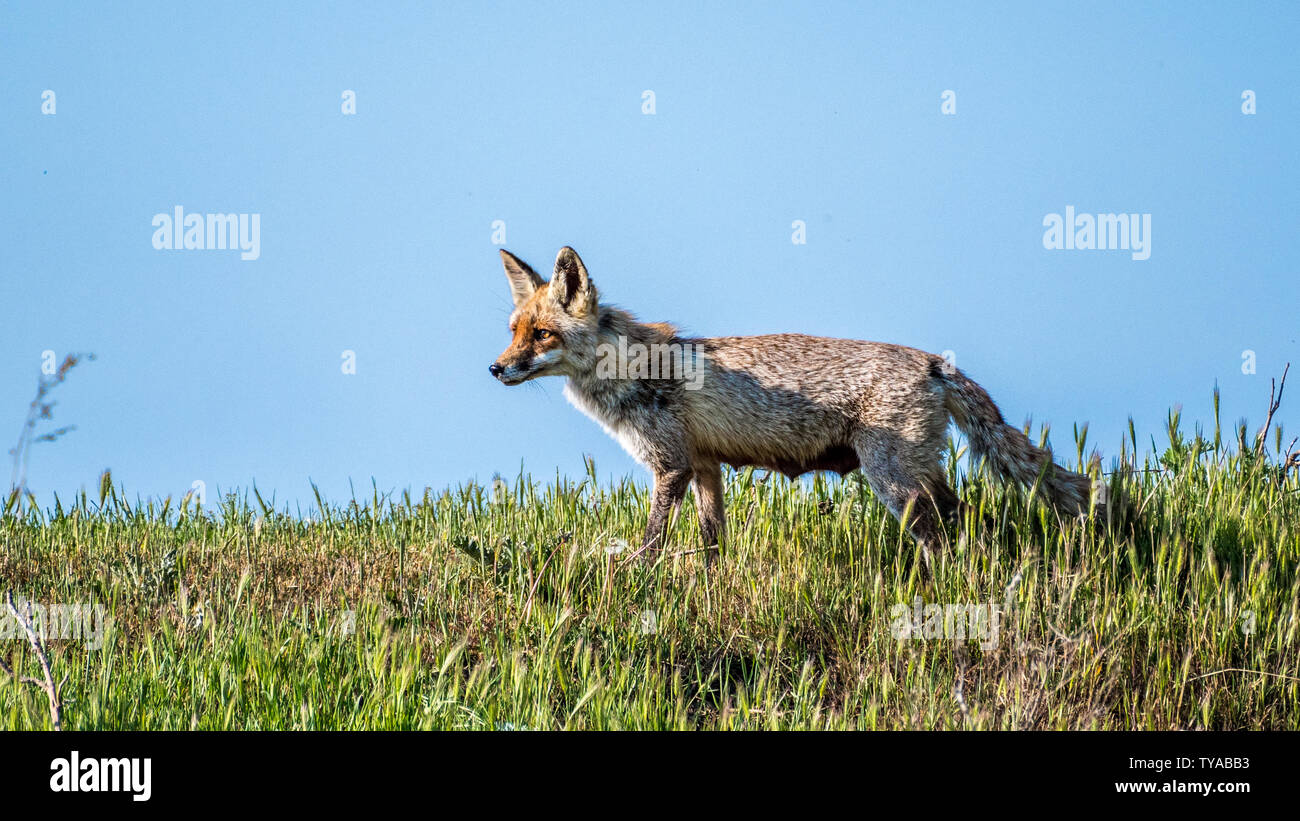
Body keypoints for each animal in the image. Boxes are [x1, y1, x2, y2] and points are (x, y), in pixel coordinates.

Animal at [490, 246, 1098, 560]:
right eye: (514, 332)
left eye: (542, 335)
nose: (496, 369)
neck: (631, 371)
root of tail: (934, 362)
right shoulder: (705, 467)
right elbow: (713, 544)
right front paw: (710, 592)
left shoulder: (671, 467)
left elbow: (653, 542)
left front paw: (639, 576)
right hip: (921, 475)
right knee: (972, 520)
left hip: (894, 484)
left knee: (942, 539)